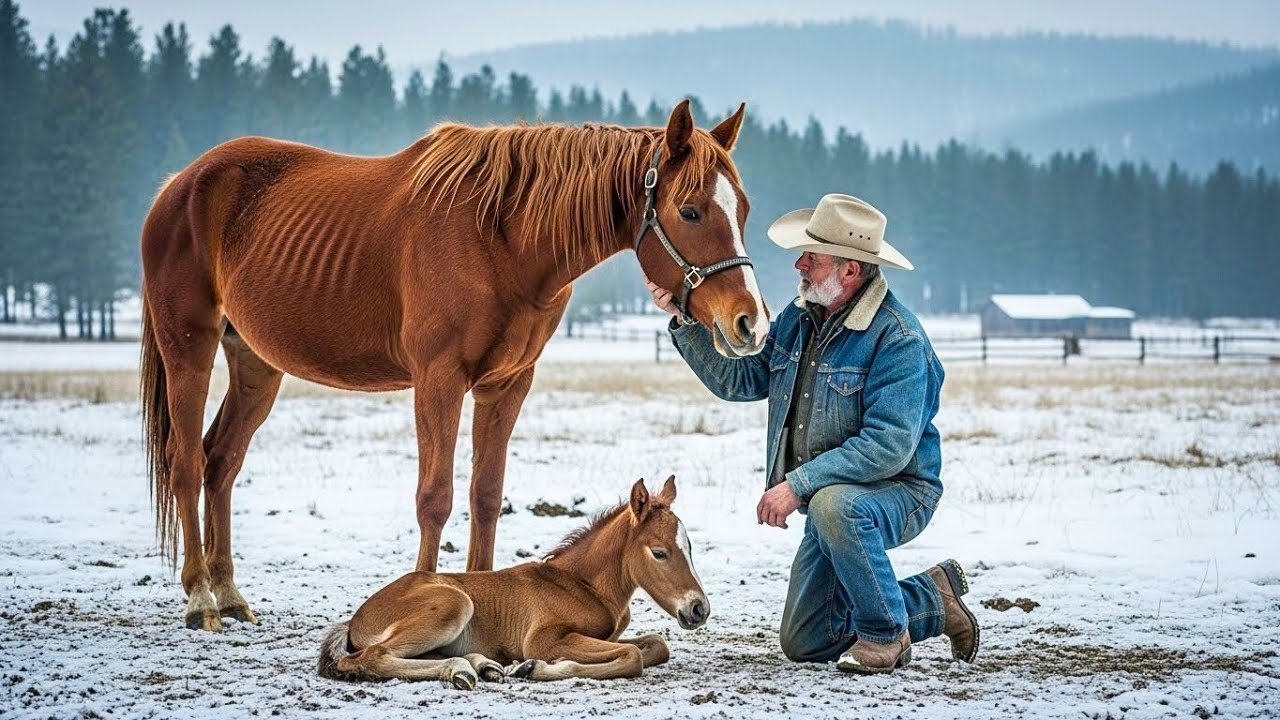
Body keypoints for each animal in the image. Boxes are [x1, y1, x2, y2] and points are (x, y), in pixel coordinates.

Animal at [139, 99, 768, 632]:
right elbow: (434, 499)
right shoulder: (438, 379)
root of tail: (178, 185)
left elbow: (485, 496)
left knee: (221, 461)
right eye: (690, 210)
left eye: (743, 208)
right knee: (186, 463)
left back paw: (229, 594)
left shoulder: (506, 385)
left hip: (255, 363)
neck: (500, 239)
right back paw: (201, 599)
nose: (750, 324)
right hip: (189, 349)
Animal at [317, 476, 706, 687]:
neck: (581, 584)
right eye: (659, 552)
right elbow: (632, 656)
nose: (699, 609)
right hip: (453, 604)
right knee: (370, 657)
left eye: (689, 546)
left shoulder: (606, 635)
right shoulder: (545, 639)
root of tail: (355, 620)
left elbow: (656, 644)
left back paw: (482, 666)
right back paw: (464, 670)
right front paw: (534, 668)